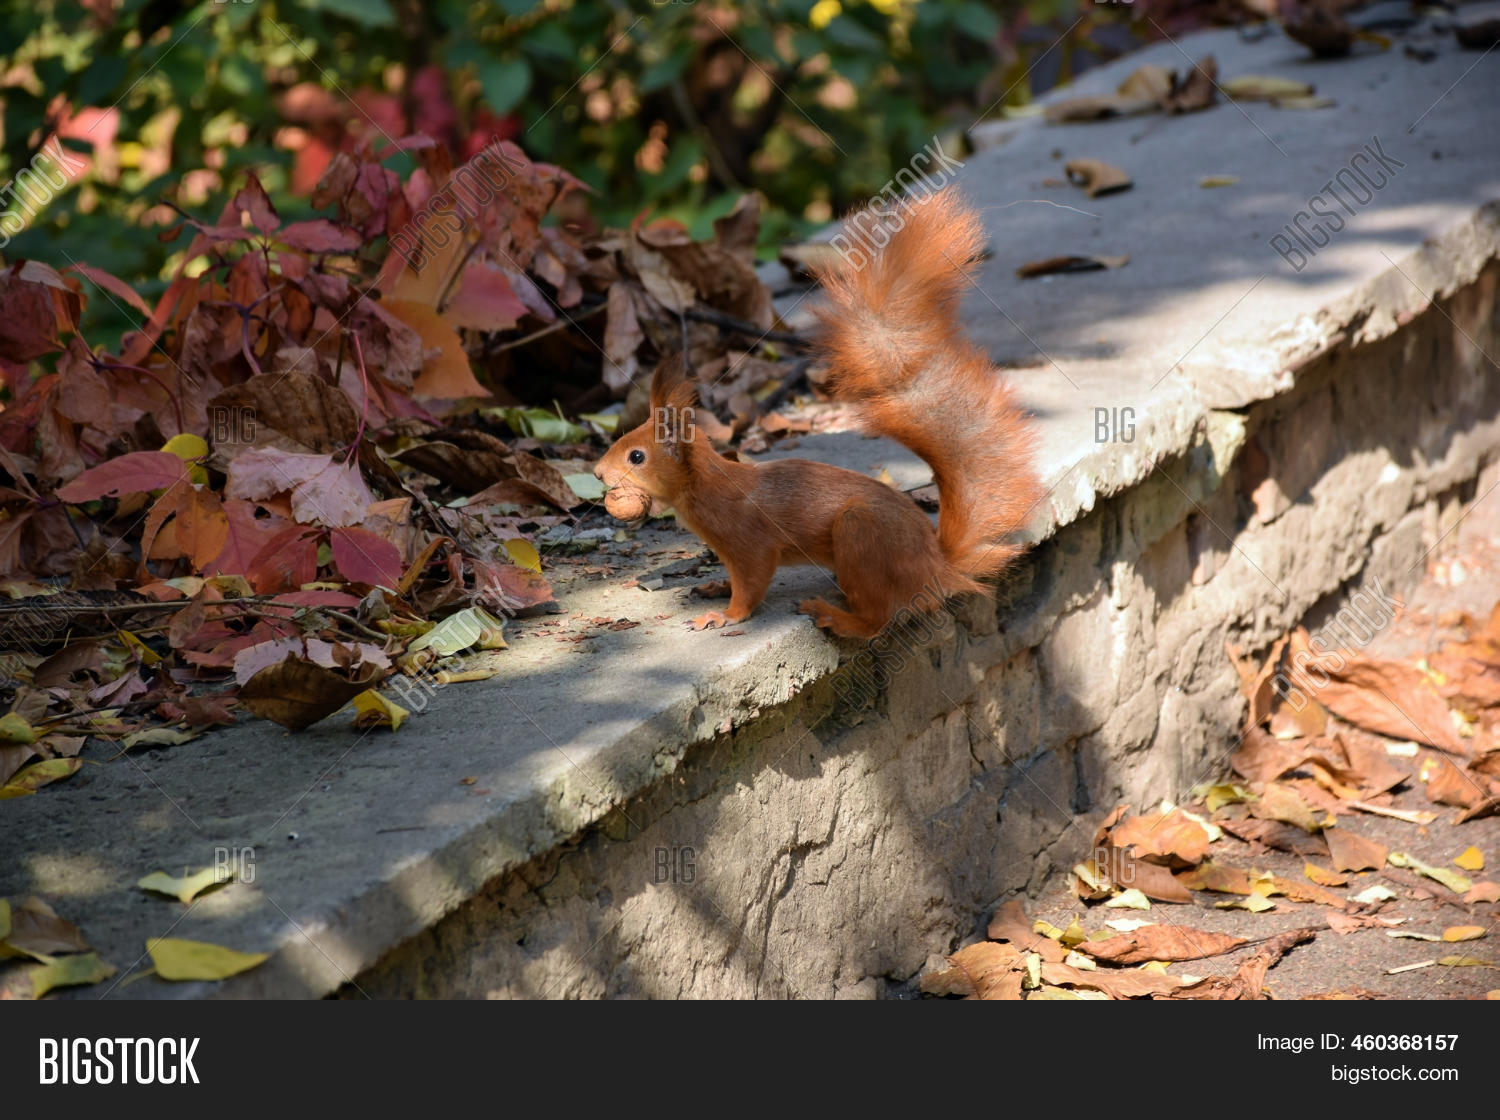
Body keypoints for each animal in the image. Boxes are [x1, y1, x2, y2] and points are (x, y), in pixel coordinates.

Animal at [593, 187, 1041, 639]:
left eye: (636, 456)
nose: (597, 473)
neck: (705, 484)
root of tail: (937, 567)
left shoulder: (748, 542)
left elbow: (751, 582)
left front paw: (724, 615)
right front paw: (716, 587)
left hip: (860, 535)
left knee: (877, 620)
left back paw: (835, 615)